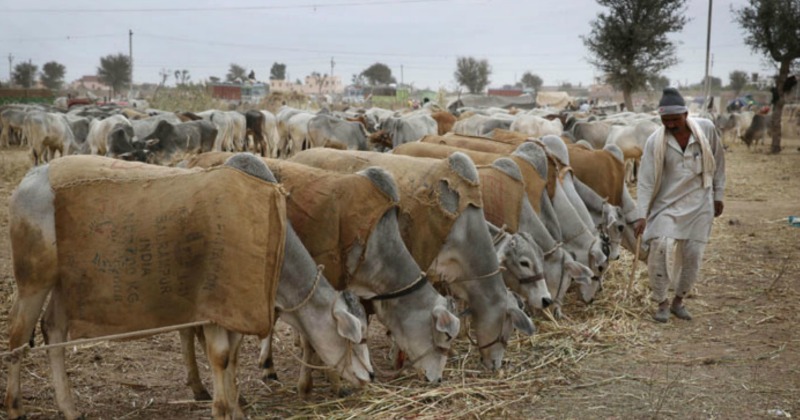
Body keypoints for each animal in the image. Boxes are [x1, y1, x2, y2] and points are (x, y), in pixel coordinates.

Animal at [4, 154, 373, 420]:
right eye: (355, 337)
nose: (369, 377)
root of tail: (31, 178)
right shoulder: (214, 308)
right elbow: (221, 357)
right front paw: (222, 409)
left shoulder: (235, 310)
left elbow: (233, 358)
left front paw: (236, 407)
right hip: (34, 279)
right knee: (19, 335)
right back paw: (15, 405)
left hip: (65, 283)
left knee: (54, 329)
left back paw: (68, 407)